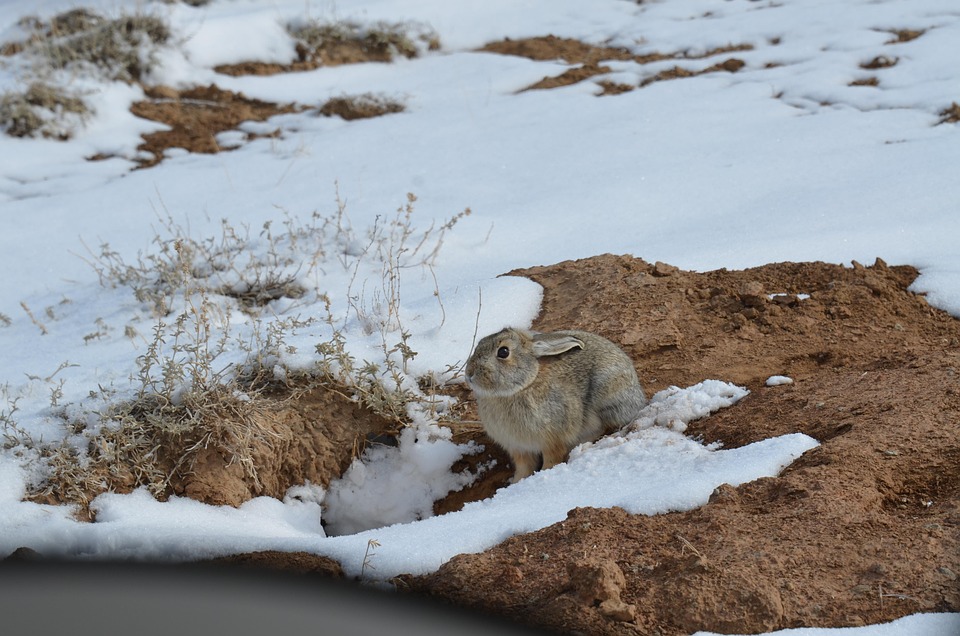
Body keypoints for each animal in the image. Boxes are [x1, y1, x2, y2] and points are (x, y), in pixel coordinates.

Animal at [465, 327, 647, 483]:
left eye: (503, 352)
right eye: (479, 344)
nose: (469, 374)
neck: (523, 386)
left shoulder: (553, 439)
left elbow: (552, 459)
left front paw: (544, 472)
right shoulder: (519, 448)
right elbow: (524, 467)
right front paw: (516, 483)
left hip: (607, 397)